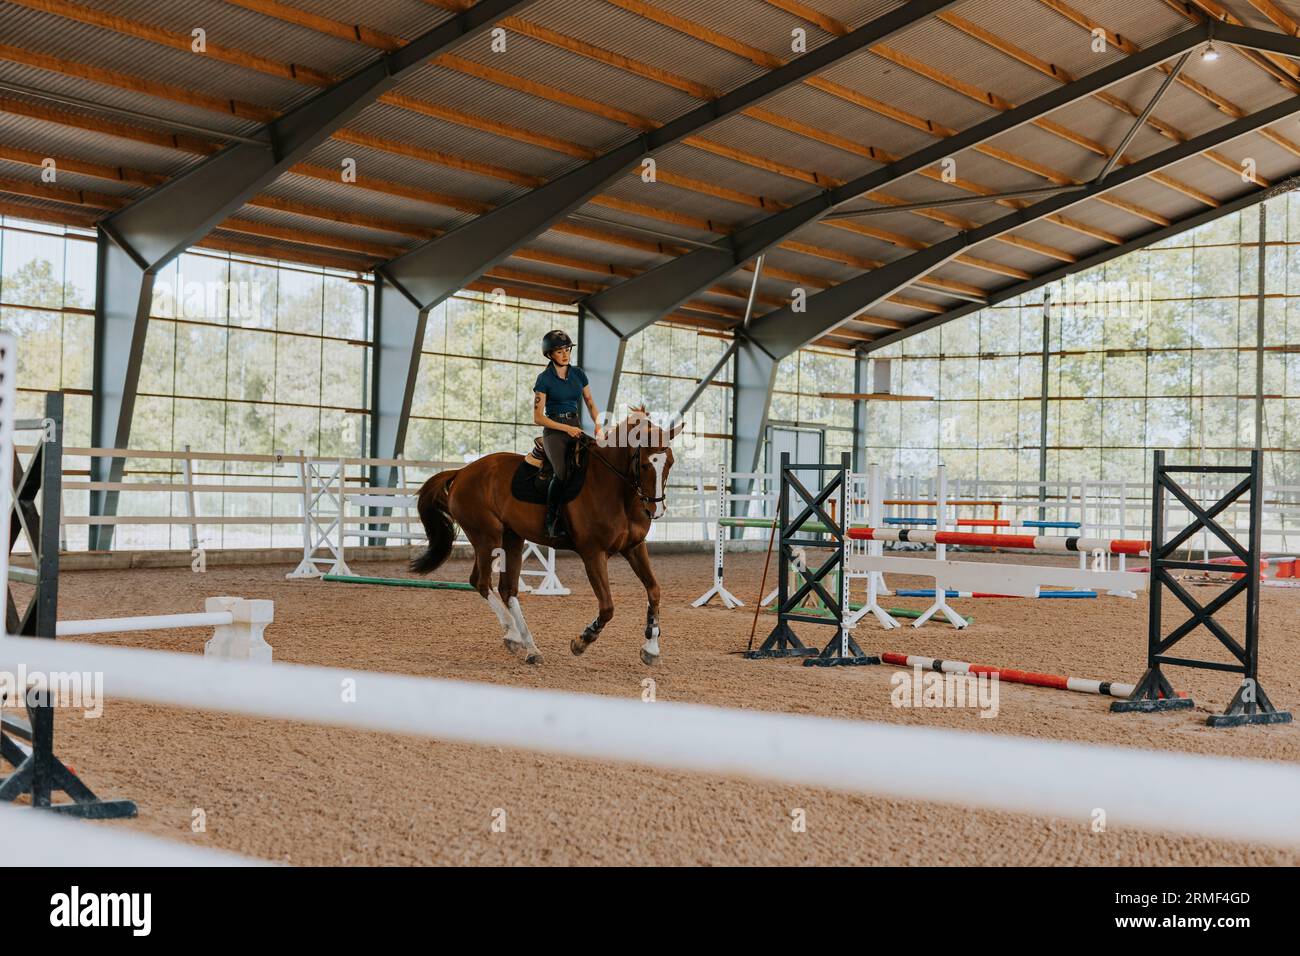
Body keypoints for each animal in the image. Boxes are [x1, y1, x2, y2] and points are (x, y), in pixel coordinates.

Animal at [409, 409, 683, 665]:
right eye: (646, 464)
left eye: (670, 463)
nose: (655, 509)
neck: (617, 491)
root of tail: (462, 471)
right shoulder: (593, 554)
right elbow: (607, 607)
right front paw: (582, 641)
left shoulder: (634, 547)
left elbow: (654, 591)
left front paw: (651, 649)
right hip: (486, 538)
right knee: (482, 582)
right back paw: (513, 634)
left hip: (512, 538)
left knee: (507, 589)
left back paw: (529, 647)